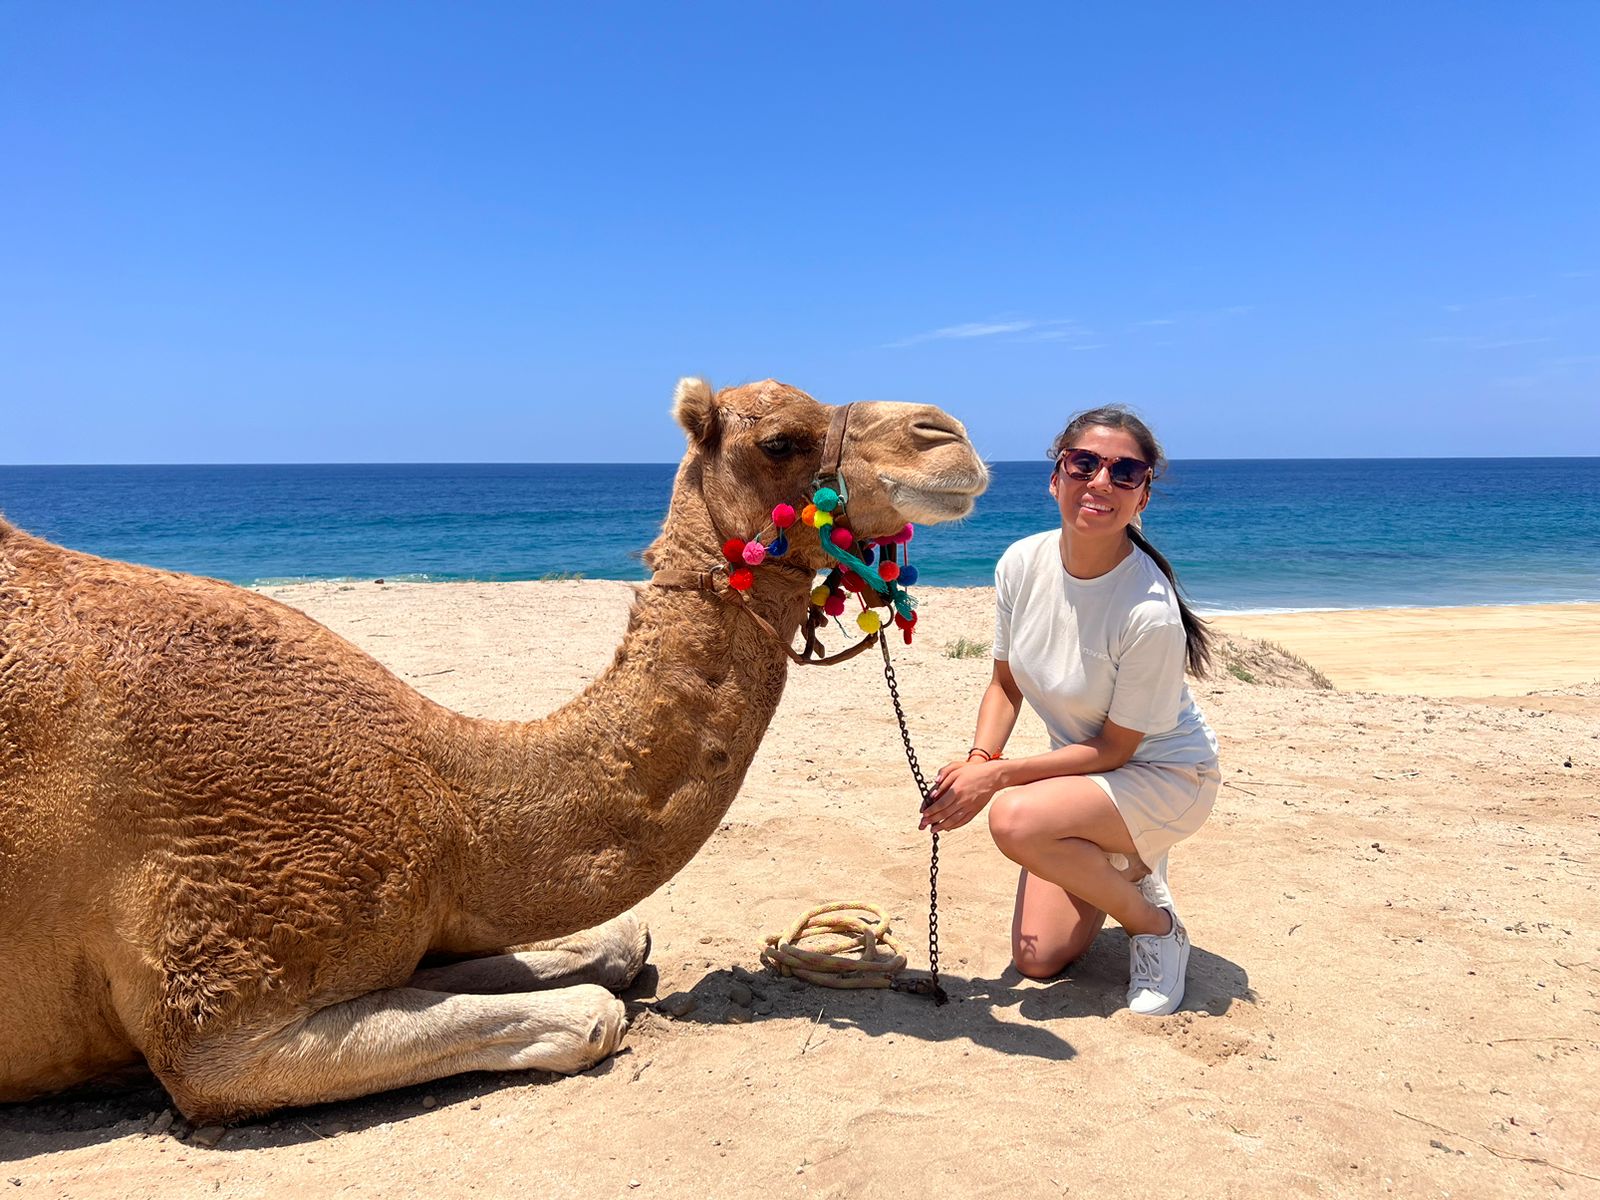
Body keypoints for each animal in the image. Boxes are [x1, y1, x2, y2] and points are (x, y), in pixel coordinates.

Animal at [0, 378, 987, 1123]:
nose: (949, 435)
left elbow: (614, 943)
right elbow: (591, 1015)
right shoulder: (218, 1010)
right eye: (783, 438)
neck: (448, 798)